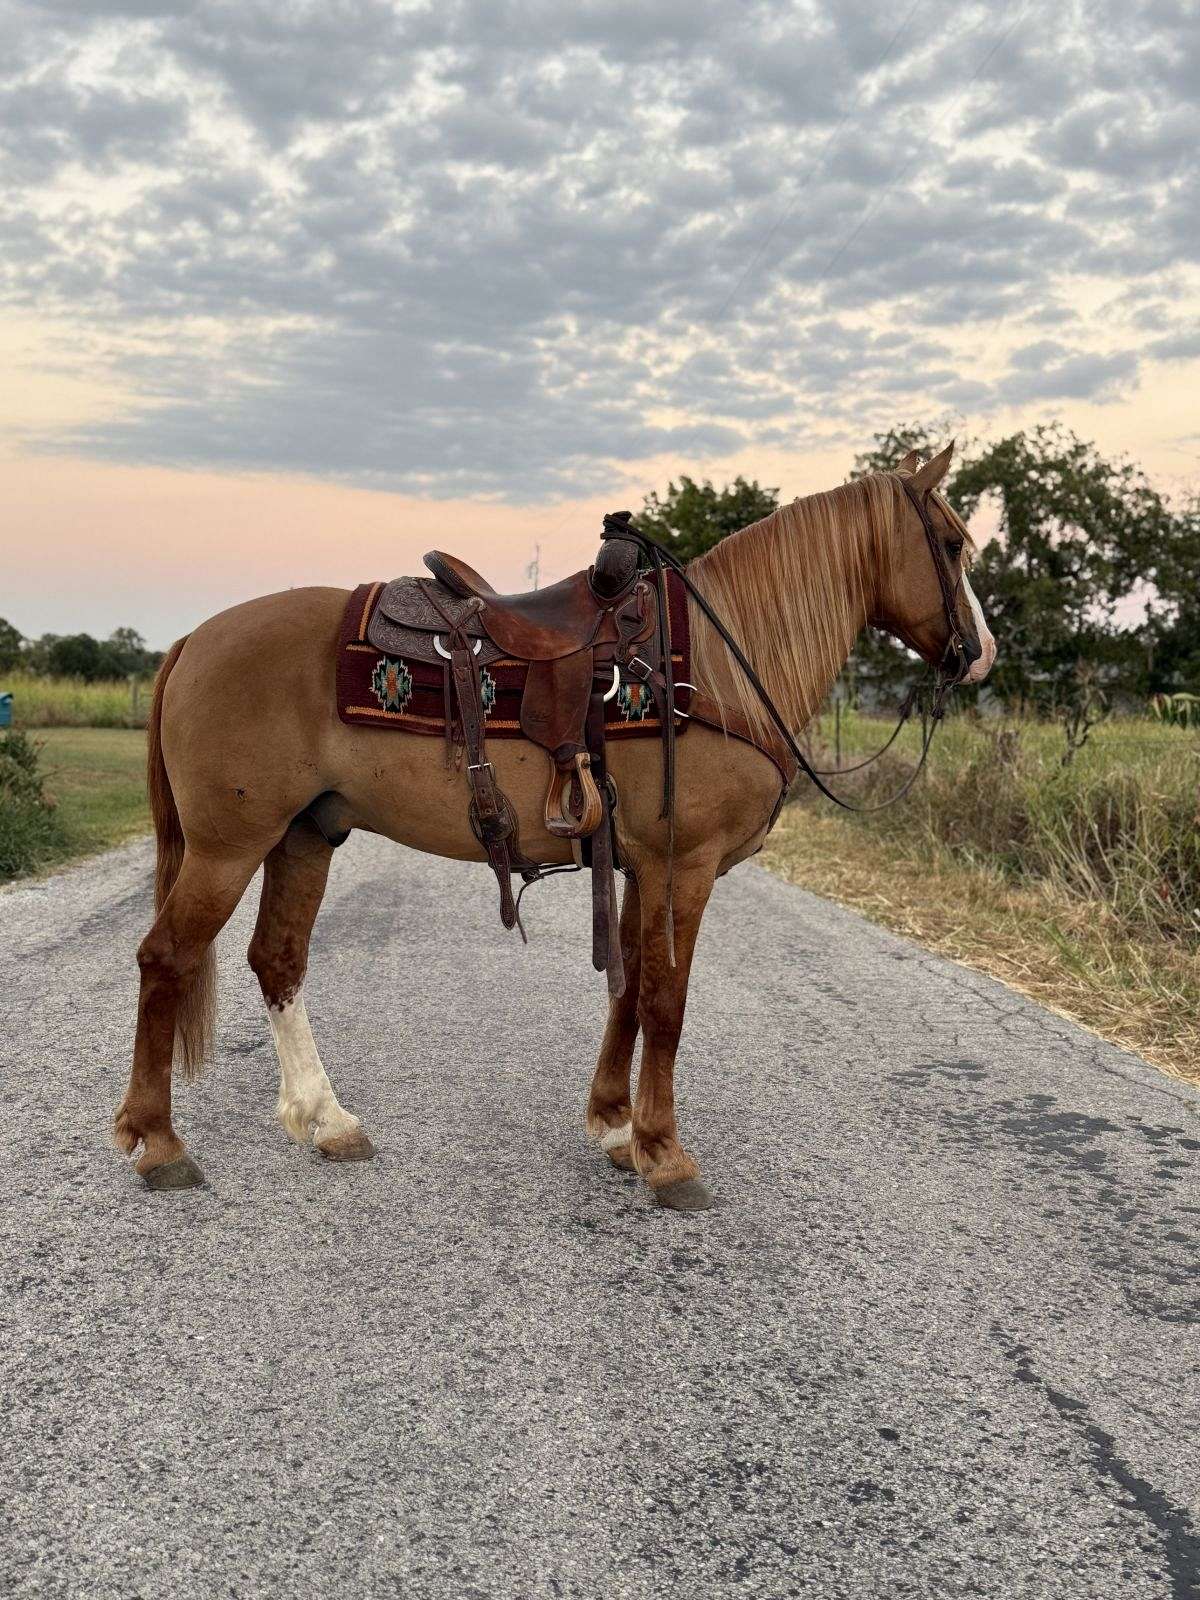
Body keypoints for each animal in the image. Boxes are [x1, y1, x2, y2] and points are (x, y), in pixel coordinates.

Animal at [114, 443, 995, 1209]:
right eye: (953, 543)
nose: (980, 656)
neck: (716, 664)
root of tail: (194, 639)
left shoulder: (638, 864)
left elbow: (630, 992)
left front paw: (615, 1127)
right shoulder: (684, 866)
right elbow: (667, 1001)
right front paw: (665, 1153)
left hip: (304, 835)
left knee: (279, 961)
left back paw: (325, 1121)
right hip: (228, 848)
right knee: (166, 958)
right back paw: (158, 1142)